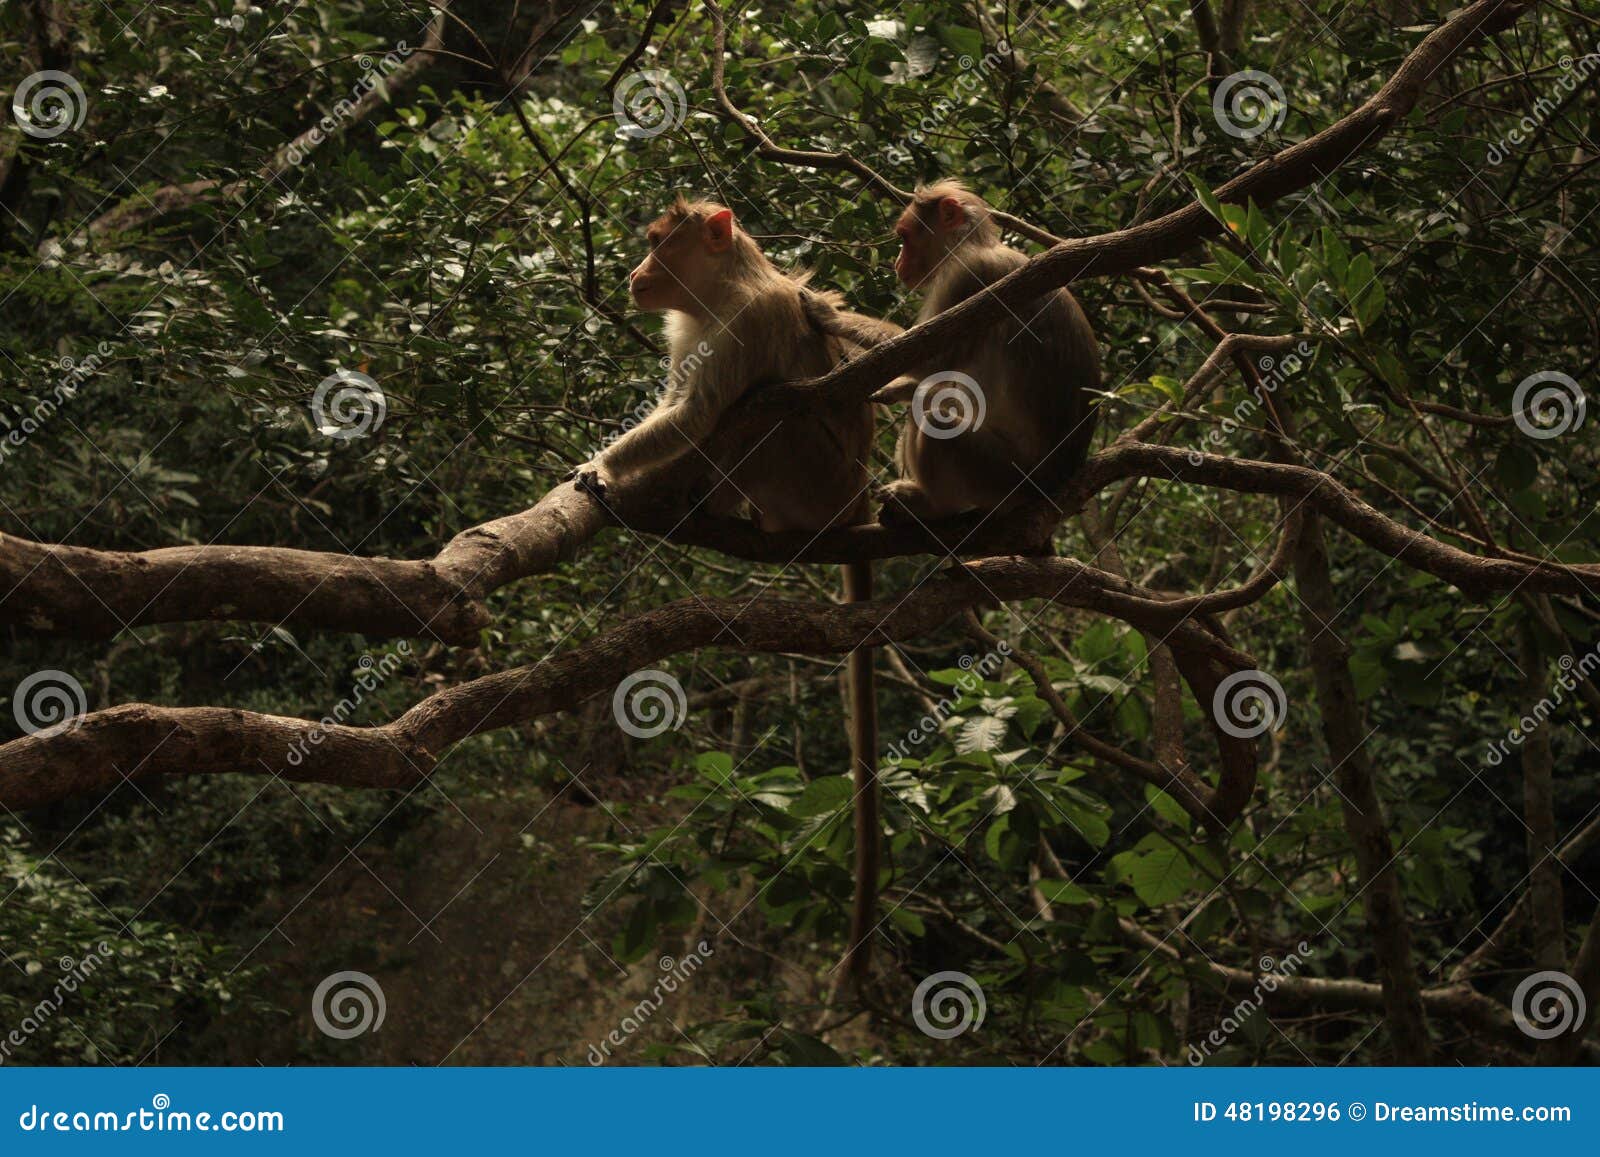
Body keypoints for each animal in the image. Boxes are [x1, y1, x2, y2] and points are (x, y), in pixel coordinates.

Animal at [571, 196, 897, 983]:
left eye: (659, 243)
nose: (636, 272)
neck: (719, 292)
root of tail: (857, 504)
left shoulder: (747, 321)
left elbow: (693, 416)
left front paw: (603, 467)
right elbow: (679, 405)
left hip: (808, 474)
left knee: (764, 409)